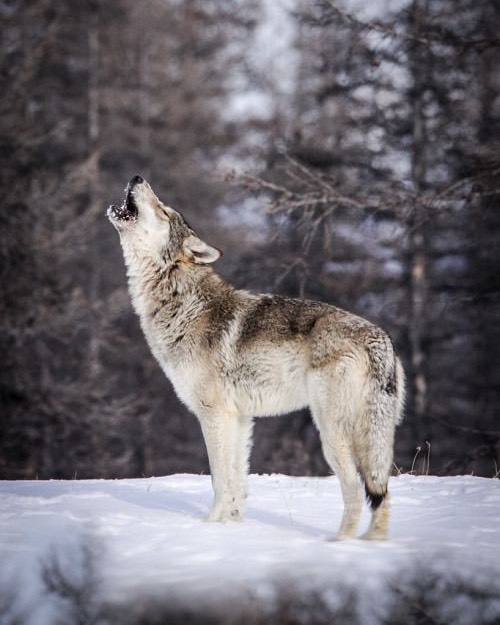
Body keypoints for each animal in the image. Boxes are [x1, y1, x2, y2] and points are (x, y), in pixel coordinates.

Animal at [107, 177, 404, 540]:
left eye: (163, 210)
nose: (137, 178)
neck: (182, 302)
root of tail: (380, 338)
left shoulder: (214, 415)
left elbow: (220, 480)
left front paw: (209, 528)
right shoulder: (239, 419)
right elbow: (237, 483)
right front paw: (233, 528)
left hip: (332, 435)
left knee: (355, 490)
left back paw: (339, 544)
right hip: (370, 438)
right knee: (383, 495)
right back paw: (372, 544)